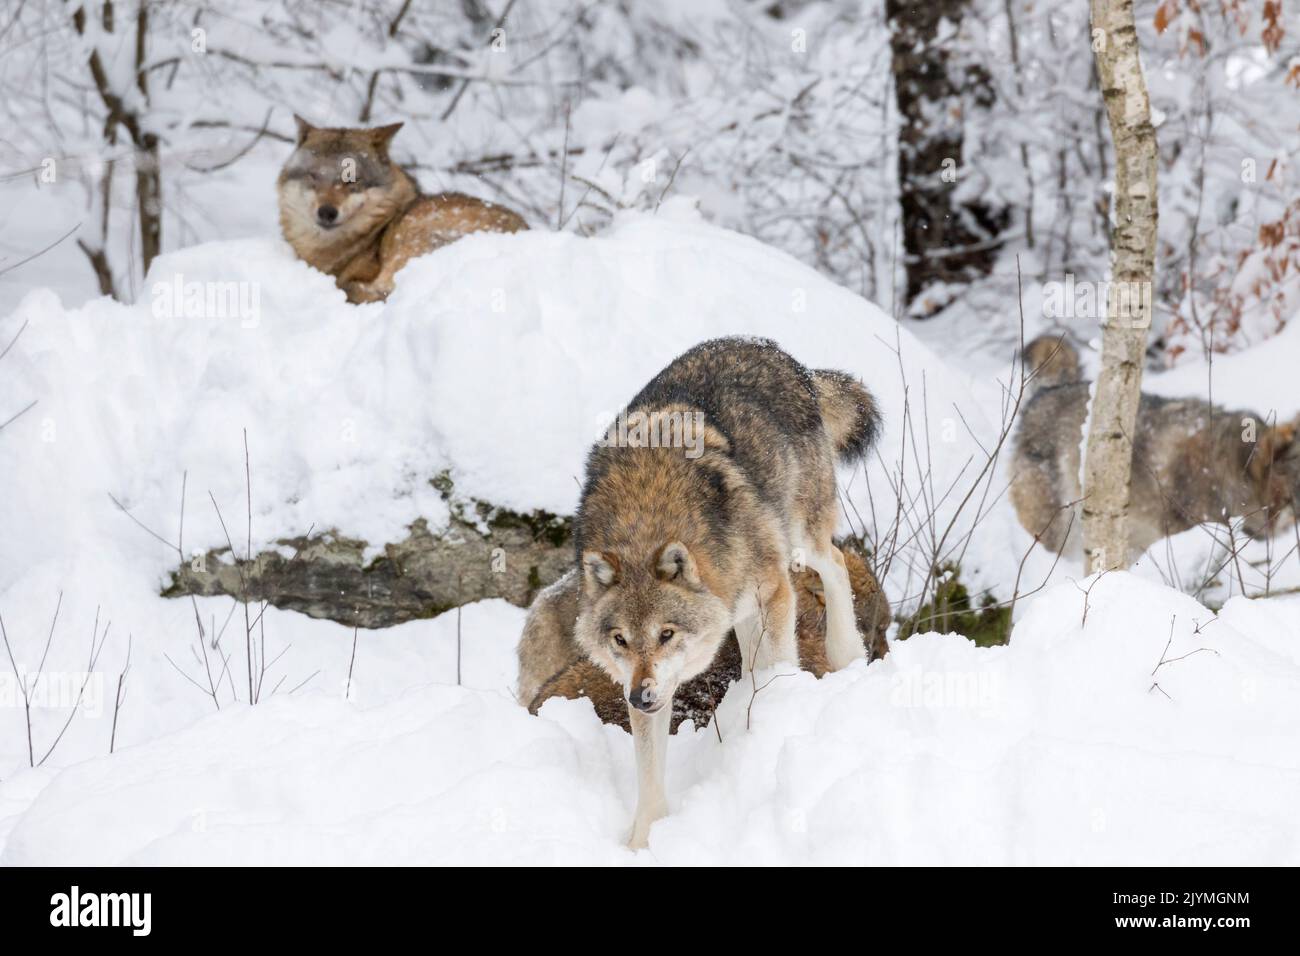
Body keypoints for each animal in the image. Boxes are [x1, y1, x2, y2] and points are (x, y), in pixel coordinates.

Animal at [571, 336, 880, 848]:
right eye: (620, 640)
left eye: (667, 634)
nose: (639, 698)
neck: (646, 518)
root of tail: (780, 354)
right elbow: (648, 771)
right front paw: (643, 842)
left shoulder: (774, 591)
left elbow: (779, 665)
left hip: (801, 538)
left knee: (835, 565)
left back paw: (847, 653)